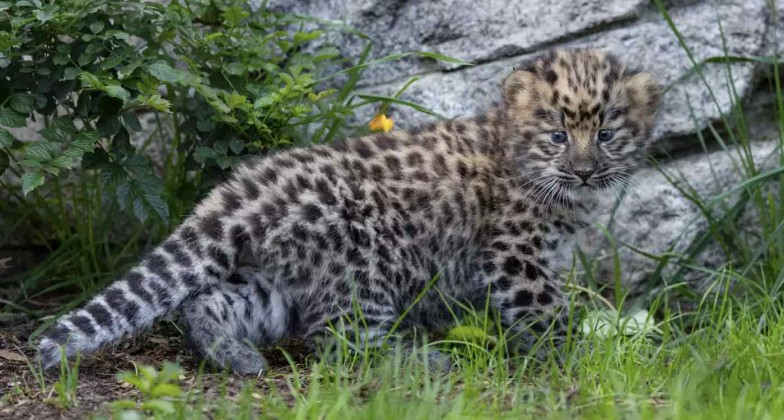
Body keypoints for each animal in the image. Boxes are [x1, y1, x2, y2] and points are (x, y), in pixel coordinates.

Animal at [36, 48, 661, 375]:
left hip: (281, 281)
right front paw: (583, 361)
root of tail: (246, 188)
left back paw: (236, 356)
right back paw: (425, 365)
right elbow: (547, 311)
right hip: (365, 265)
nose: (585, 170)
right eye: (557, 136)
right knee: (342, 340)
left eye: (606, 135)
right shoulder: (515, 256)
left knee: (206, 302)